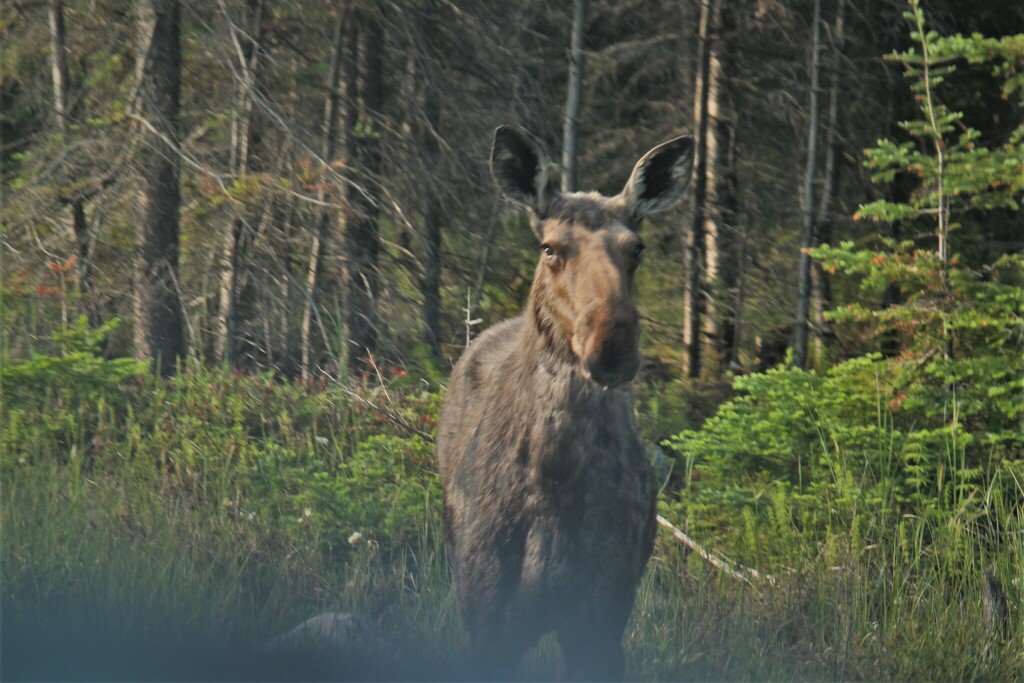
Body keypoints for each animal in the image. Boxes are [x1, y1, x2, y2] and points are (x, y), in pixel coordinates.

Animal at [436, 125, 694, 680]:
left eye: (636, 248)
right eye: (551, 247)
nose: (611, 342)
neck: (553, 482)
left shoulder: (602, 616)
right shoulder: (483, 616)